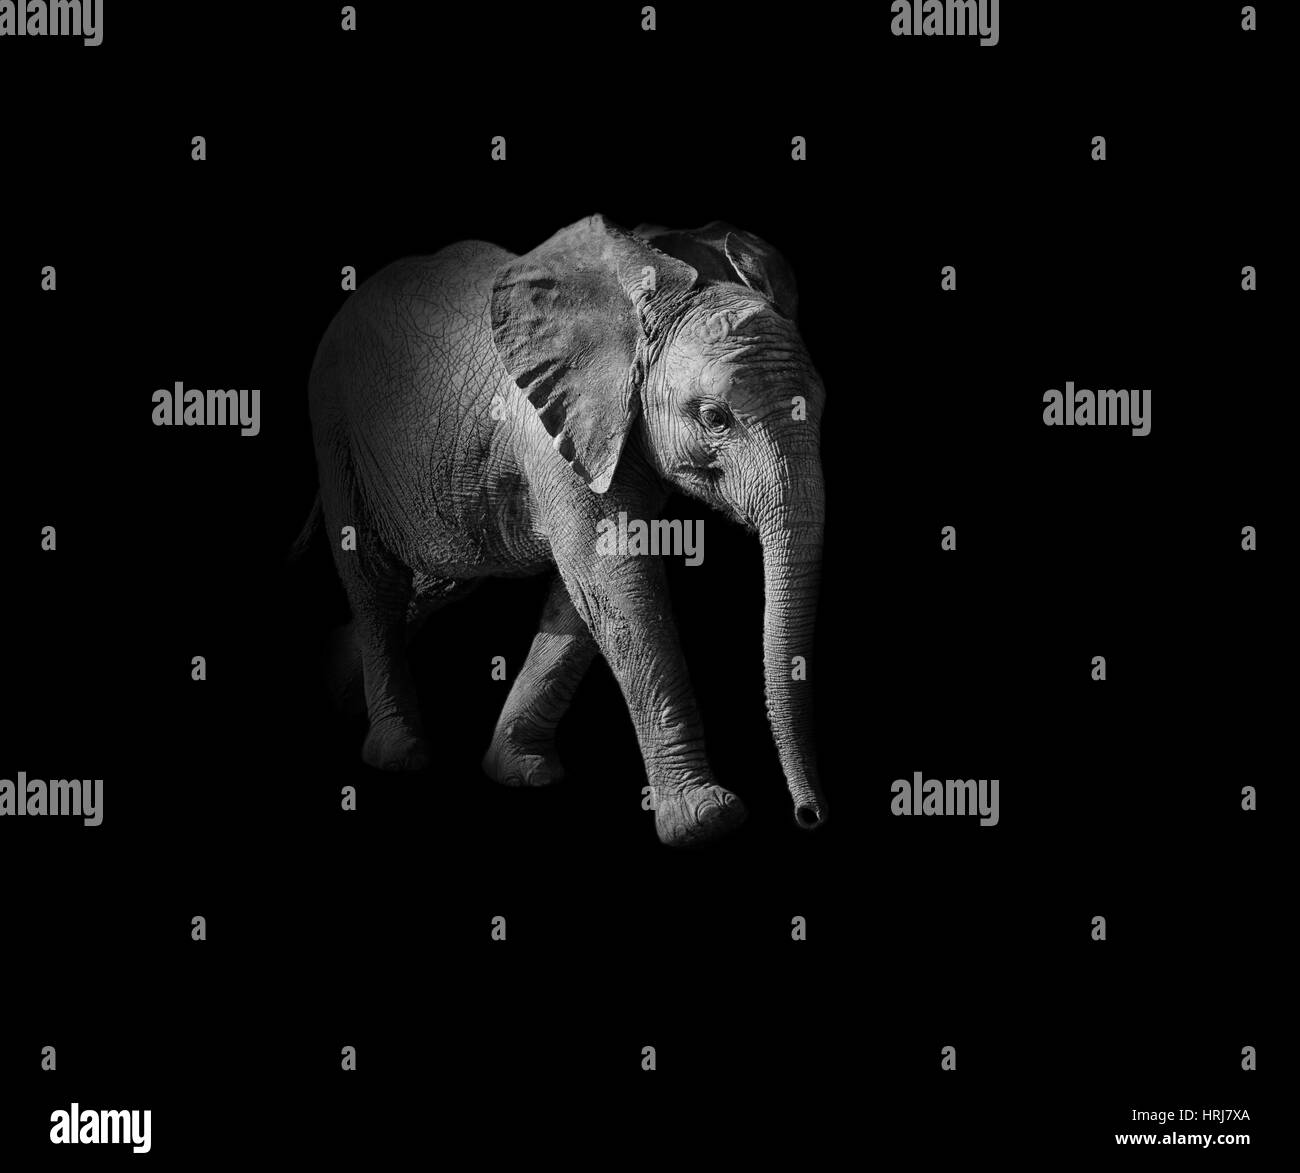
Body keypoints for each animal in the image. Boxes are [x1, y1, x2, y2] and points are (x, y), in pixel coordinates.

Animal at [295, 214, 827, 846]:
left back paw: (334, 682)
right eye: (714, 418)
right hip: (334, 426)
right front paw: (706, 820)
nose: (809, 816)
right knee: (376, 580)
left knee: (438, 579)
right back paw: (397, 754)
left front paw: (523, 773)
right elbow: (616, 583)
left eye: (822, 408)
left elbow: (585, 593)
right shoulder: (554, 431)